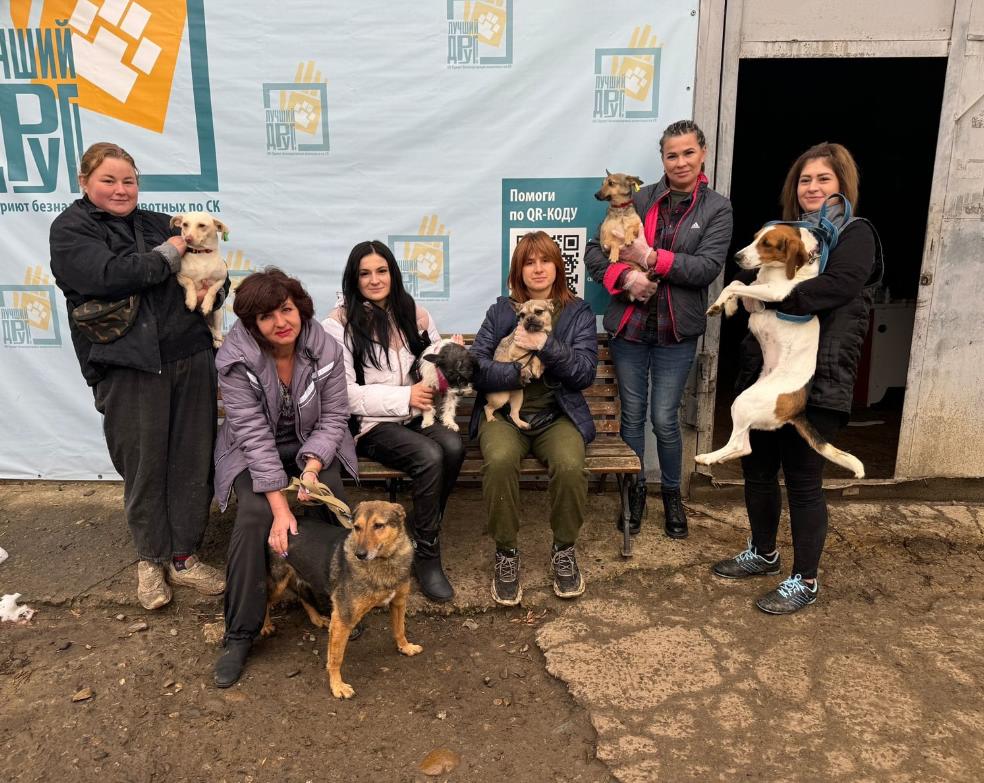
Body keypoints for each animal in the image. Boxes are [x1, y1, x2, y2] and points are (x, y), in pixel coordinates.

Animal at [171, 210, 231, 348]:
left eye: (202, 225)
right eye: (185, 224)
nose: (187, 238)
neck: (201, 254)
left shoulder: (221, 279)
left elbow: (212, 290)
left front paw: (206, 305)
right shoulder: (180, 276)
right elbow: (190, 283)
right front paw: (191, 301)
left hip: (218, 313)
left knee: (217, 330)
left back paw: (217, 340)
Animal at [262, 502, 418, 700]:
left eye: (379, 526)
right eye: (357, 527)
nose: (360, 554)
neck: (384, 561)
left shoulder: (398, 602)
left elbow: (399, 629)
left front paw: (405, 647)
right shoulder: (343, 619)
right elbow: (335, 658)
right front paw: (337, 686)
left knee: (302, 596)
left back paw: (317, 619)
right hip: (279, 583)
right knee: (266, 600)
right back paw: (266, 625)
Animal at [482, 298, 552, 432]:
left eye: (538, 312)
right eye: (522, 315)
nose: (529, 318)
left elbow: (538, 355)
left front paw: (538, 368)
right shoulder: (517, 352)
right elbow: (532, 355)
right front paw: (533, 368)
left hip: (517, 397)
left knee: (513, 414)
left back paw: (522, 424)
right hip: (500, 398)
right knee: (487, 407)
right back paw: (491, 419)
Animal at [696, 220, 864, 478]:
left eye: (767, 244)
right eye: (755, 237)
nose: (736, 257)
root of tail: (798, 410)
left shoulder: (773, 293)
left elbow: (732, 287)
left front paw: (719, 305)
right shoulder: (756, 298)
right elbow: (737, 284)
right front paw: (729, 307)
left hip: (745, 401)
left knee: (738, 444)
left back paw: (707, 458)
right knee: (745, 446)